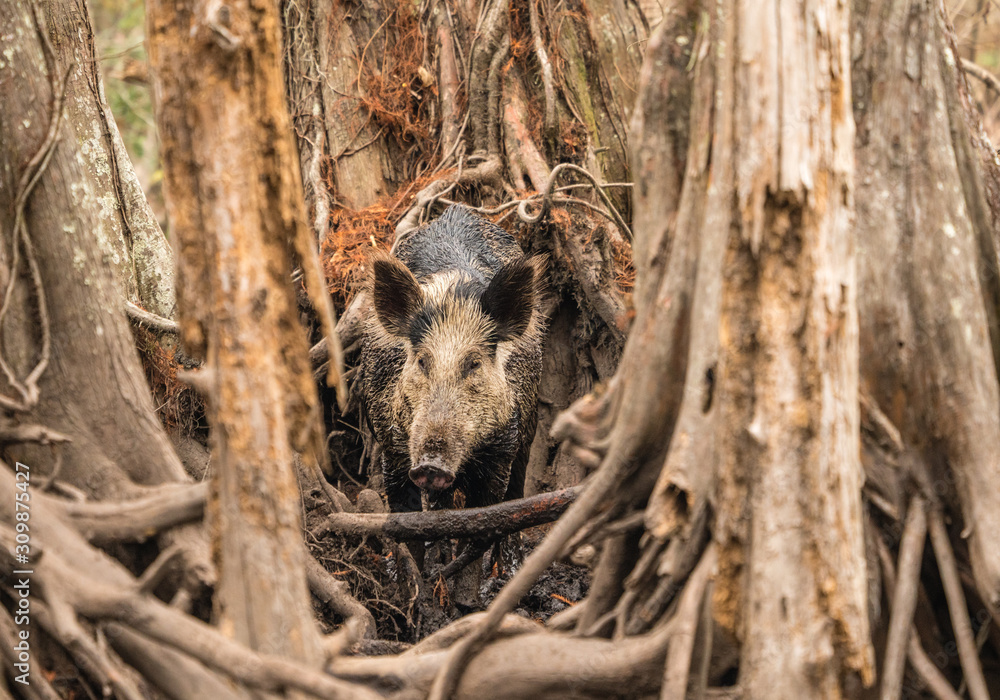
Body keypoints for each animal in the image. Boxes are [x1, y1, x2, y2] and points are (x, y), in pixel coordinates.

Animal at [359, 205, 546, 514]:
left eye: (474, 363)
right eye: (422, 361)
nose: (431, 465)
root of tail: (454, 210)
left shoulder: (502, 447)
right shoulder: (391, 443)